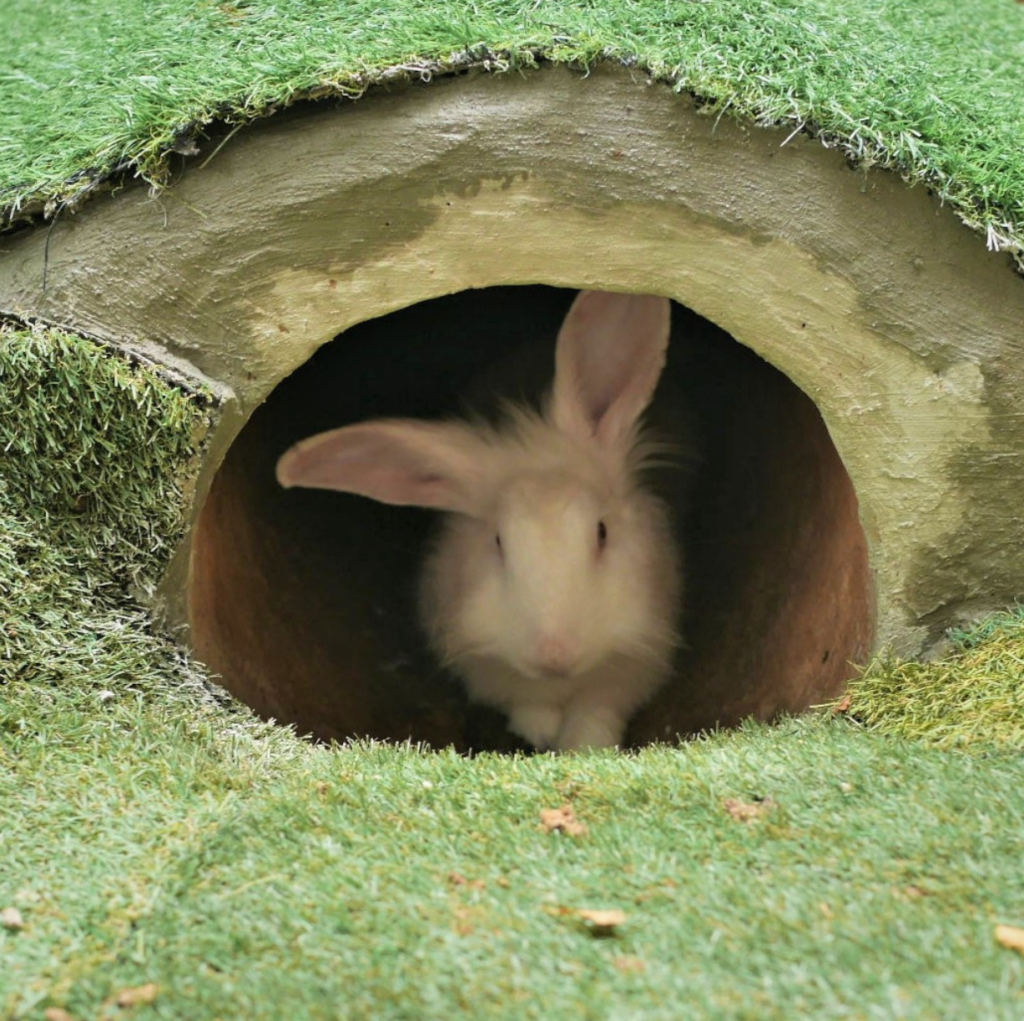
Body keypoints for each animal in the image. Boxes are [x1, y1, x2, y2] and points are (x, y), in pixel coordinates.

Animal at [275, 290, 683, 750]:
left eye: (601, 532)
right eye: (498, 542)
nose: (555, 655)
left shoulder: (632, 666)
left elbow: (596, 715)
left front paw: (582, 745)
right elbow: (528, 707)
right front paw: (542, 731)